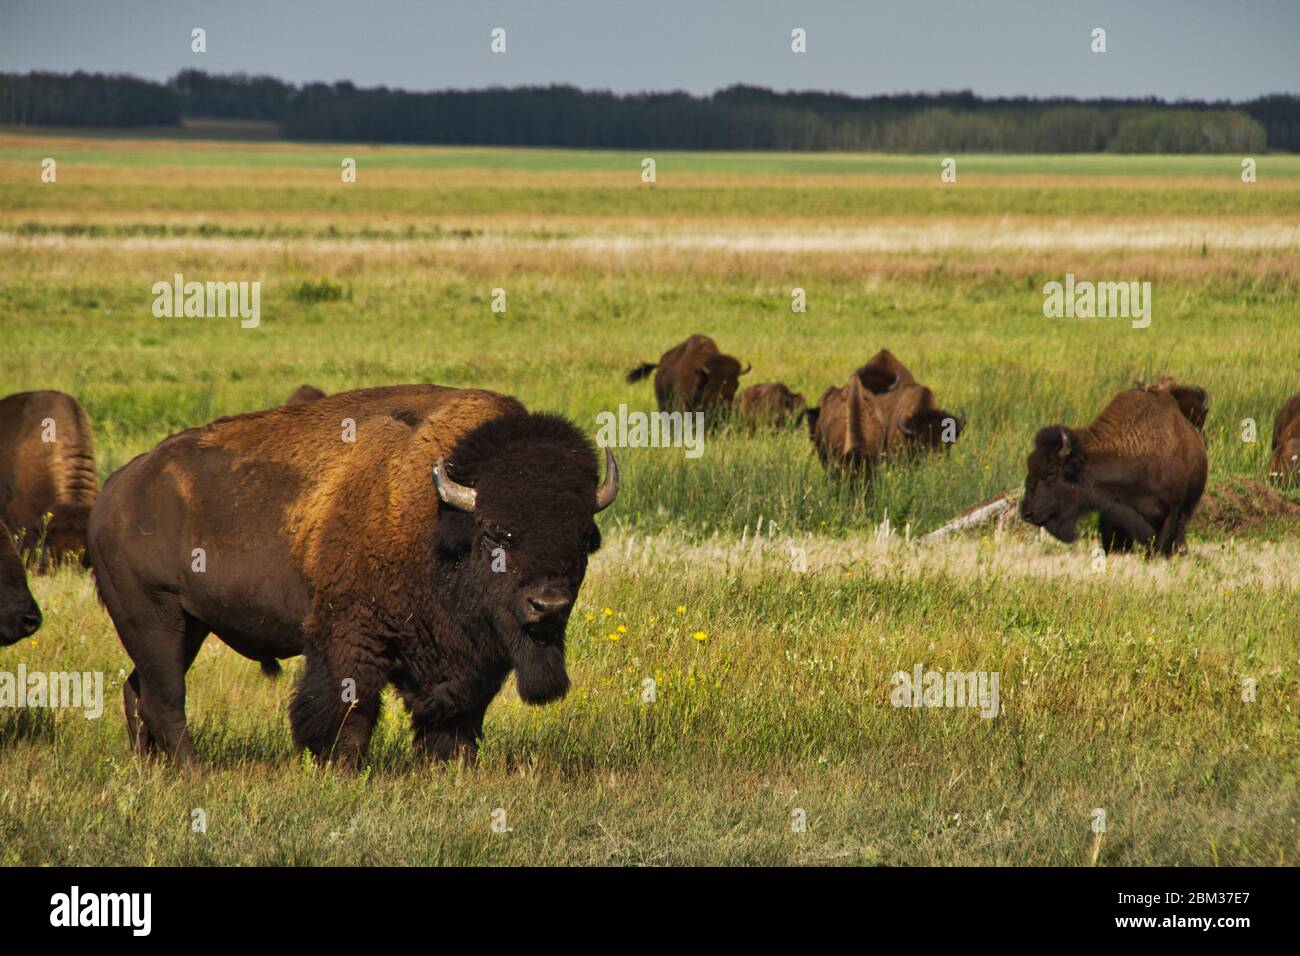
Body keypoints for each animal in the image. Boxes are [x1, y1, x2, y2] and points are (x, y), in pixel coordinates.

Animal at [87, 385, 619, 768]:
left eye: (583, 538)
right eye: (495, 533)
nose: (548, 605)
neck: (438, 517)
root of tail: (115, 491)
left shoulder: (472, 658)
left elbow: (459, 714)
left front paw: (453, 765)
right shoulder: (351, 633)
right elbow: (350, 705)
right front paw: (340, 767)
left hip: (187, 627)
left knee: (138, 691)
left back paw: (151, 770)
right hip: (154, 618)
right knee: (165, 698)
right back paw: (195, 772)